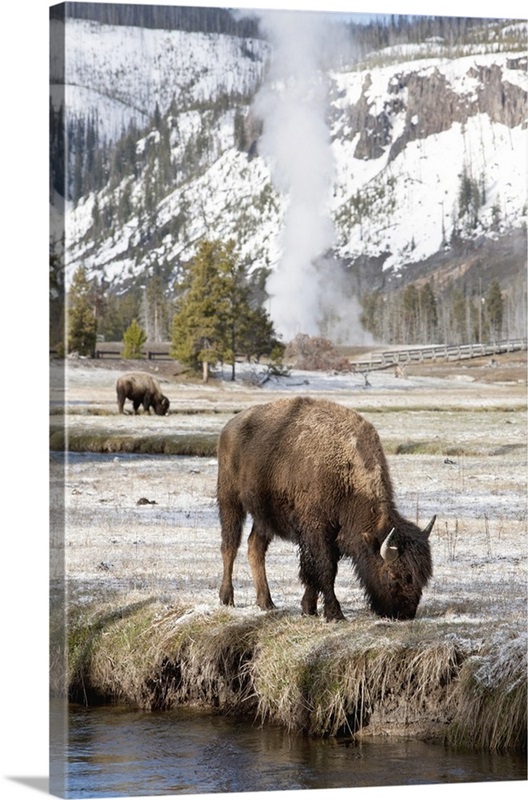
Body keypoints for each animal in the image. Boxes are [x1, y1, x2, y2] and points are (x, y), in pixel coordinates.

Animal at [217, 397, 435, 621]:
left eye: (423, 576)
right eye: (393, 575)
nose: (404, 613)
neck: (345, 471)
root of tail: (230, 426)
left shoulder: (331, 536)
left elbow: (316, 572)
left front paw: (309, 609)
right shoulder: (317, 530)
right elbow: (324, 569)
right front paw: (334, 613)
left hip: (264, 517)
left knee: (255, 548)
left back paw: (266, 603)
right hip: (229, 500)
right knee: (230, 546)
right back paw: (227, 598)